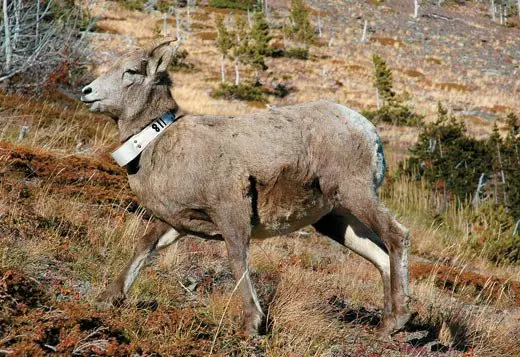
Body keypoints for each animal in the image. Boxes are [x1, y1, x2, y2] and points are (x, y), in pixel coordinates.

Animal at [80, 39, 410, 334]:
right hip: (336, 220)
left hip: (355, 194)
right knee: (381, 257)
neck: (156, 143)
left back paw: (398, 320)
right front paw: (109, 298)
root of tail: (368, 131)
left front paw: (251, 324)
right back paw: (386, 326)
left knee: (396, 235)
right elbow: (144, 247)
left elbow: (238, 260)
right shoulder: (175, 223)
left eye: (132, 71)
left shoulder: (231, 213)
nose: (87, 92)